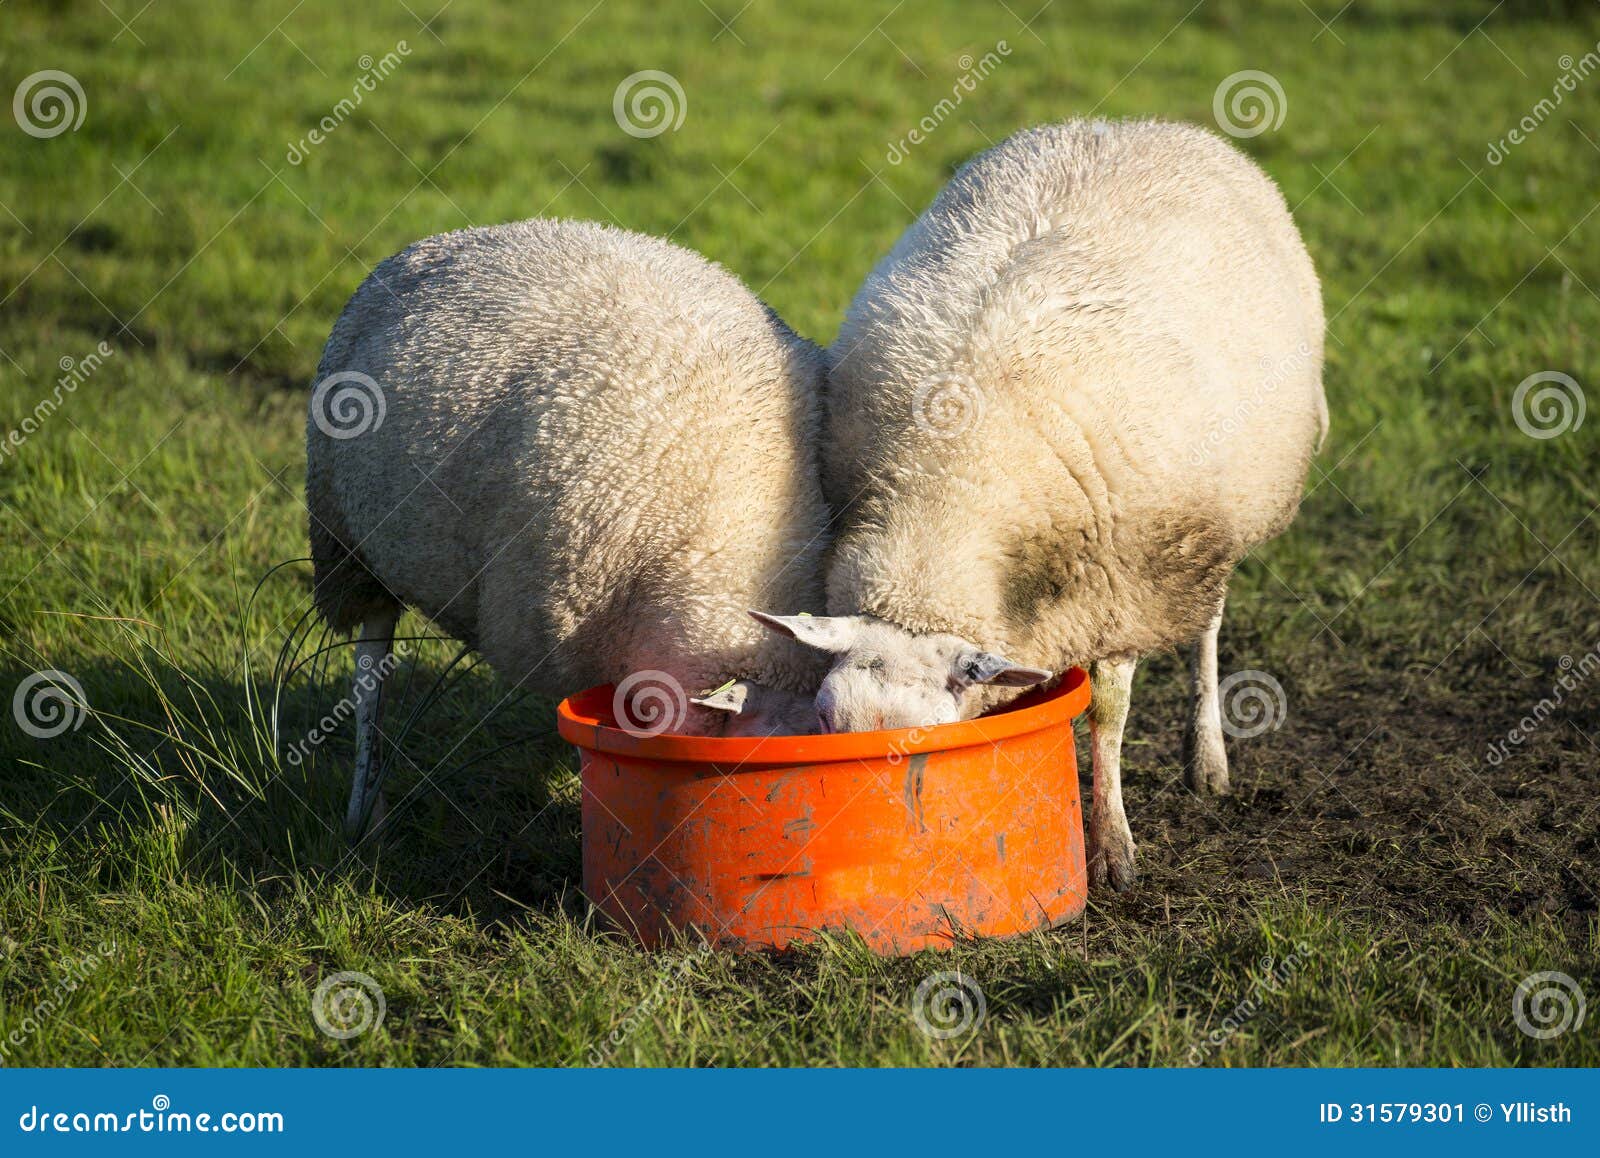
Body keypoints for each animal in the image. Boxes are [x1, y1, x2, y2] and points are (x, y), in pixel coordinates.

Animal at [754, 118, 1327, 891]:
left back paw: (1207, 755)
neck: (953, 490)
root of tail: (1137, 125)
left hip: (1215, 518)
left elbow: (1108, 714)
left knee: (1207, 625)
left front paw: (1111, 844)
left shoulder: (1127, 579)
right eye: (822, 724)